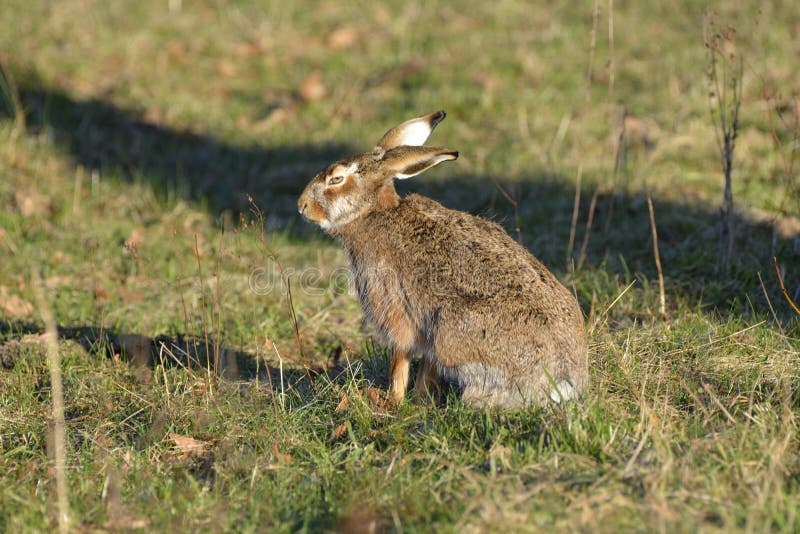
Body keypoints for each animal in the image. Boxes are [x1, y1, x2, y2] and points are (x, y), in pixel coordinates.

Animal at [298, 110, 588, 409]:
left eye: (336, 179)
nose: (302, 206)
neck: (372, 212)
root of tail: (562, 381)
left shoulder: (395, 309)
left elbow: (400, 359)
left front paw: (394, 400)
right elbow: (426, 366)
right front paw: (419, 399)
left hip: (451, 333)